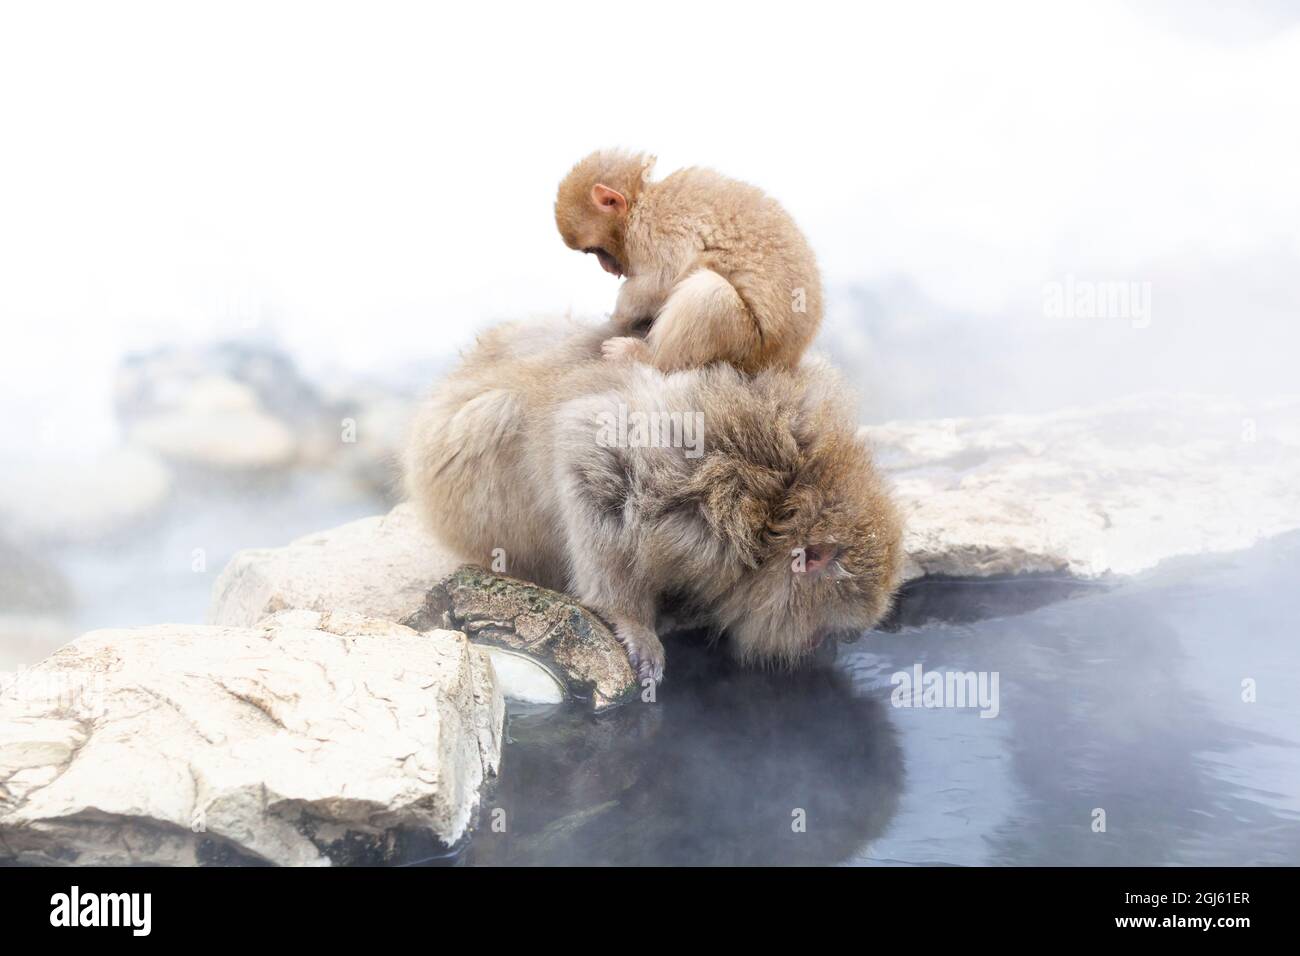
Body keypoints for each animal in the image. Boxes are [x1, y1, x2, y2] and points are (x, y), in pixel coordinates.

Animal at [402, 316, 903, 683]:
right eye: (829, 630)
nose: (840, 646)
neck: (783, 500)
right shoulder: (687, 470)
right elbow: (586, 445)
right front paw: (632, 622)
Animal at [554, 150, 824, 375]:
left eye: (595, 251)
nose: (608, 268)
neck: (640, 201)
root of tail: (782, 360)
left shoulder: (653, 230)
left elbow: (661, 279)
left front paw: (619, 315)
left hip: (746, 347)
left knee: (708, 292)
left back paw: (646, 357)